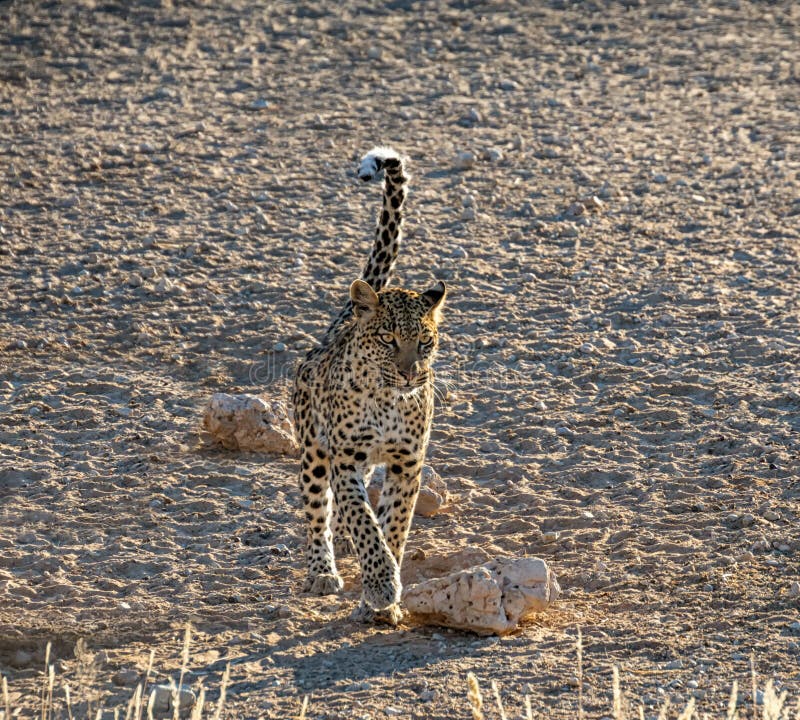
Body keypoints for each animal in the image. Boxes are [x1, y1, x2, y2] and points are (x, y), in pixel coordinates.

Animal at [292, 146, 446, 625]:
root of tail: (340, 325)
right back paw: (323, 570)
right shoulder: (344, 459)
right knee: (317, 513)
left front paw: (384, 598)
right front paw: (380, 585)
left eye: (425, 340)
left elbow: (393, 524)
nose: (411, 373)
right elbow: (364, 521)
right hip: (314, 452)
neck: (388, 400)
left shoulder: (407, 463)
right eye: (388, 339)